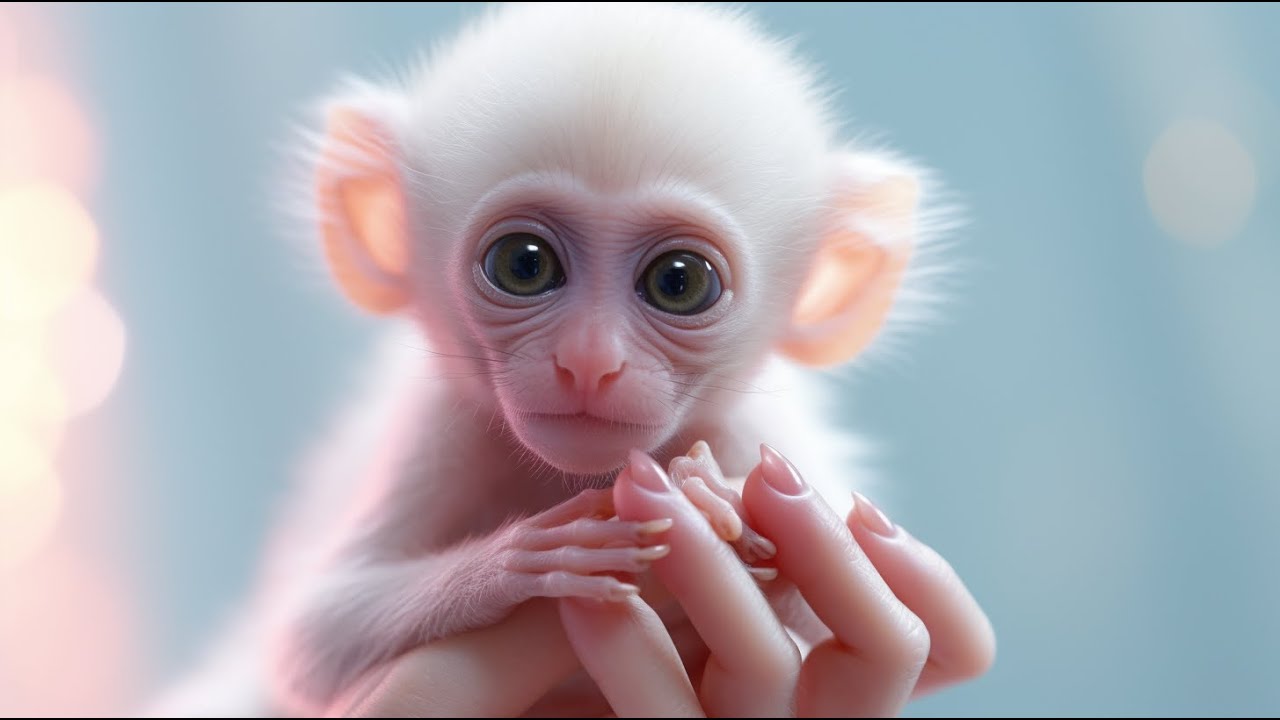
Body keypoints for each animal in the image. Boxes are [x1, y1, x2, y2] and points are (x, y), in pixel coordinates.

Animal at [154, 3, 942, 716]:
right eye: (524, 265)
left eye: (679, 282)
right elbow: (312, 637)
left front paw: (720, 499)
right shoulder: (441, 426)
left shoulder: (752, 432)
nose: (589, 362)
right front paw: (523, 562)